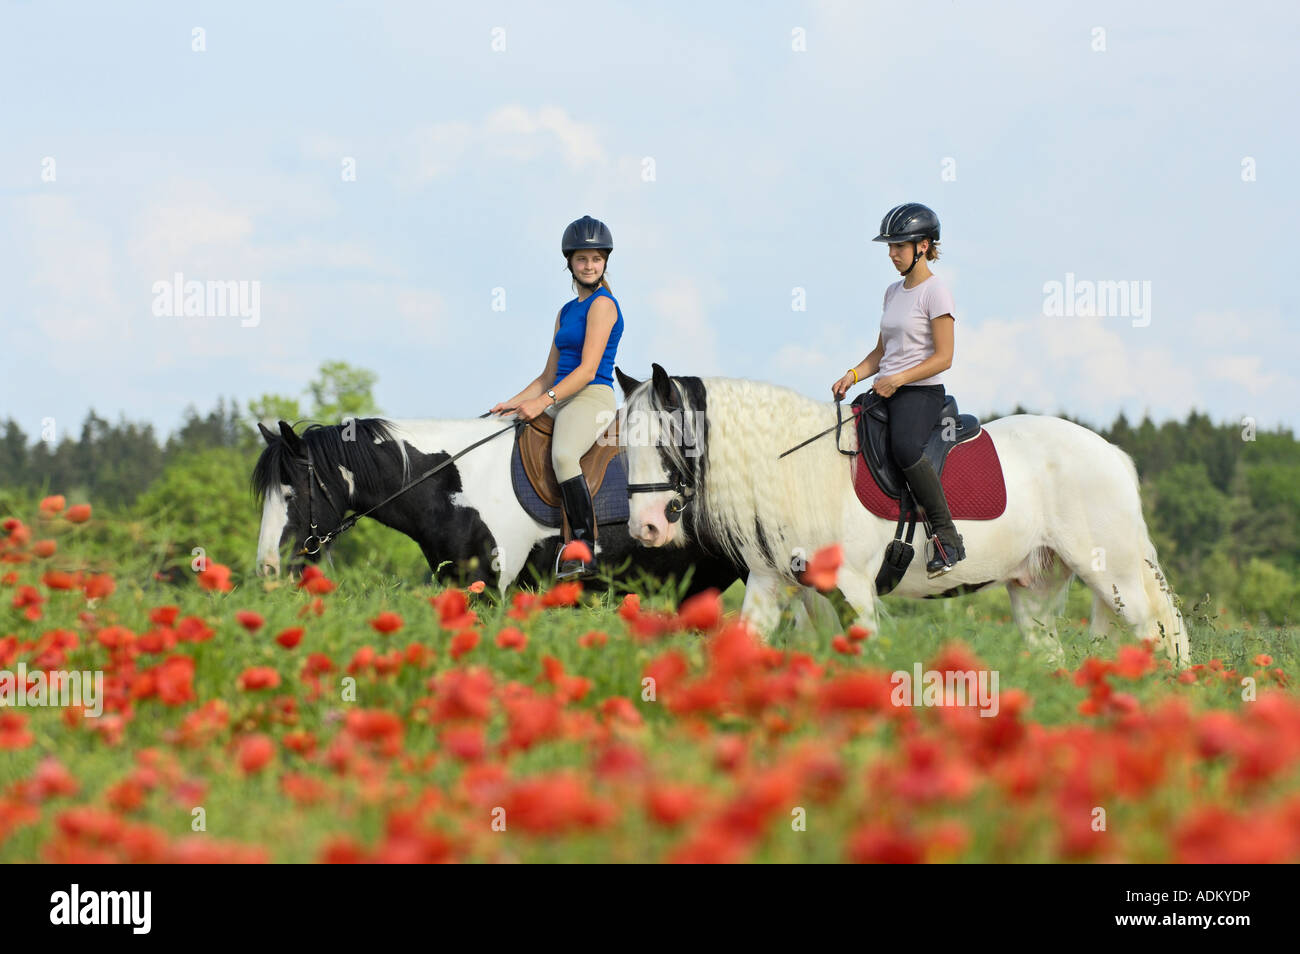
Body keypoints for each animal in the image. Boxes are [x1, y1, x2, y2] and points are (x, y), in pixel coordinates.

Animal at [615, 364, 1190, 667]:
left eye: (669, 441)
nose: (645, 526)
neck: (794, 468)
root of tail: (1111, 452)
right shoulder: (771, 583)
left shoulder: (851, 587)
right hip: (1035, 589)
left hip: (1115, 578)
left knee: (1158, 635)